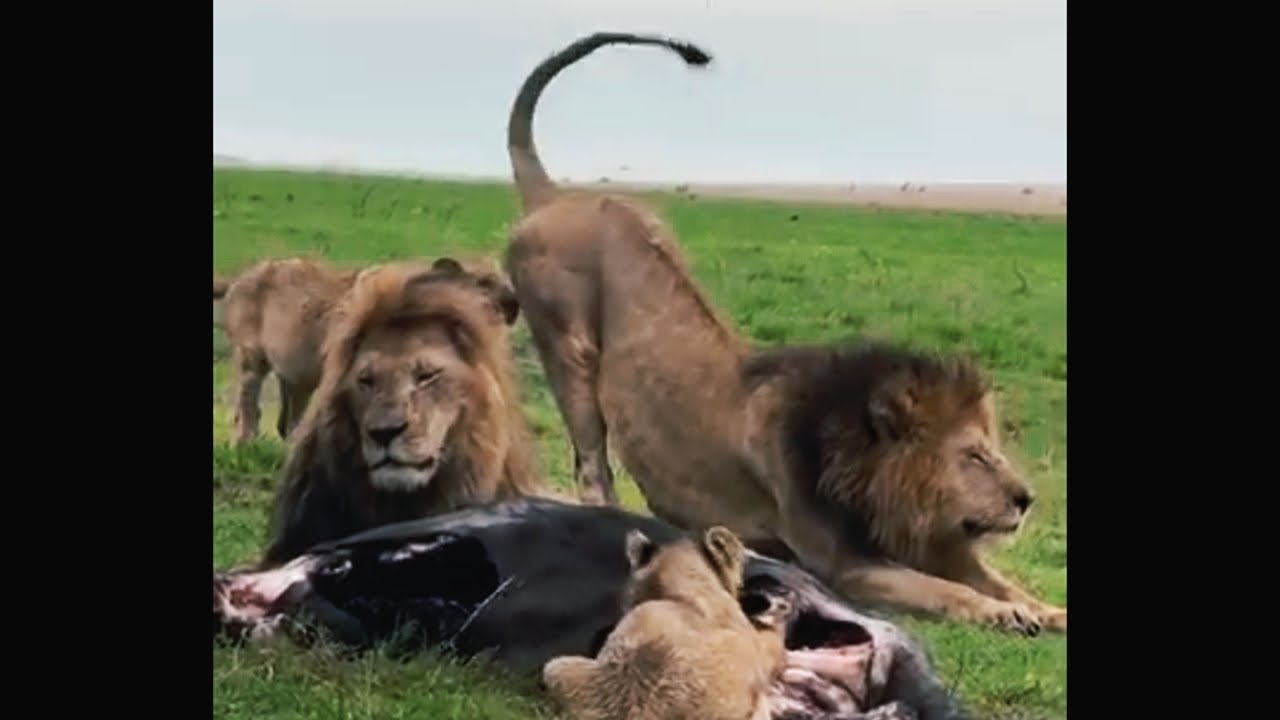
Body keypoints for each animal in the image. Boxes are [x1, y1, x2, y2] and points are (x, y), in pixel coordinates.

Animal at [214, 256, 519, 445]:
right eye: (484, 284)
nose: (513, 302)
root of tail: (240, 276)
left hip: (296, 378)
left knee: (285, 422)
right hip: (251, 358)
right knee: (247, 406)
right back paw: (246, 444)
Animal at [501, 32, 1065, 635]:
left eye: (991, 450)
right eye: (974, 456)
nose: (1027, 499)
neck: (864, 468)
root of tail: (554, 197)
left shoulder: (930, 537)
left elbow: (995, 579)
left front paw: (1045, 609)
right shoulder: (843, 563)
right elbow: (940, 591)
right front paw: (1002, 613)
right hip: (569, 352)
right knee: (591, 465)